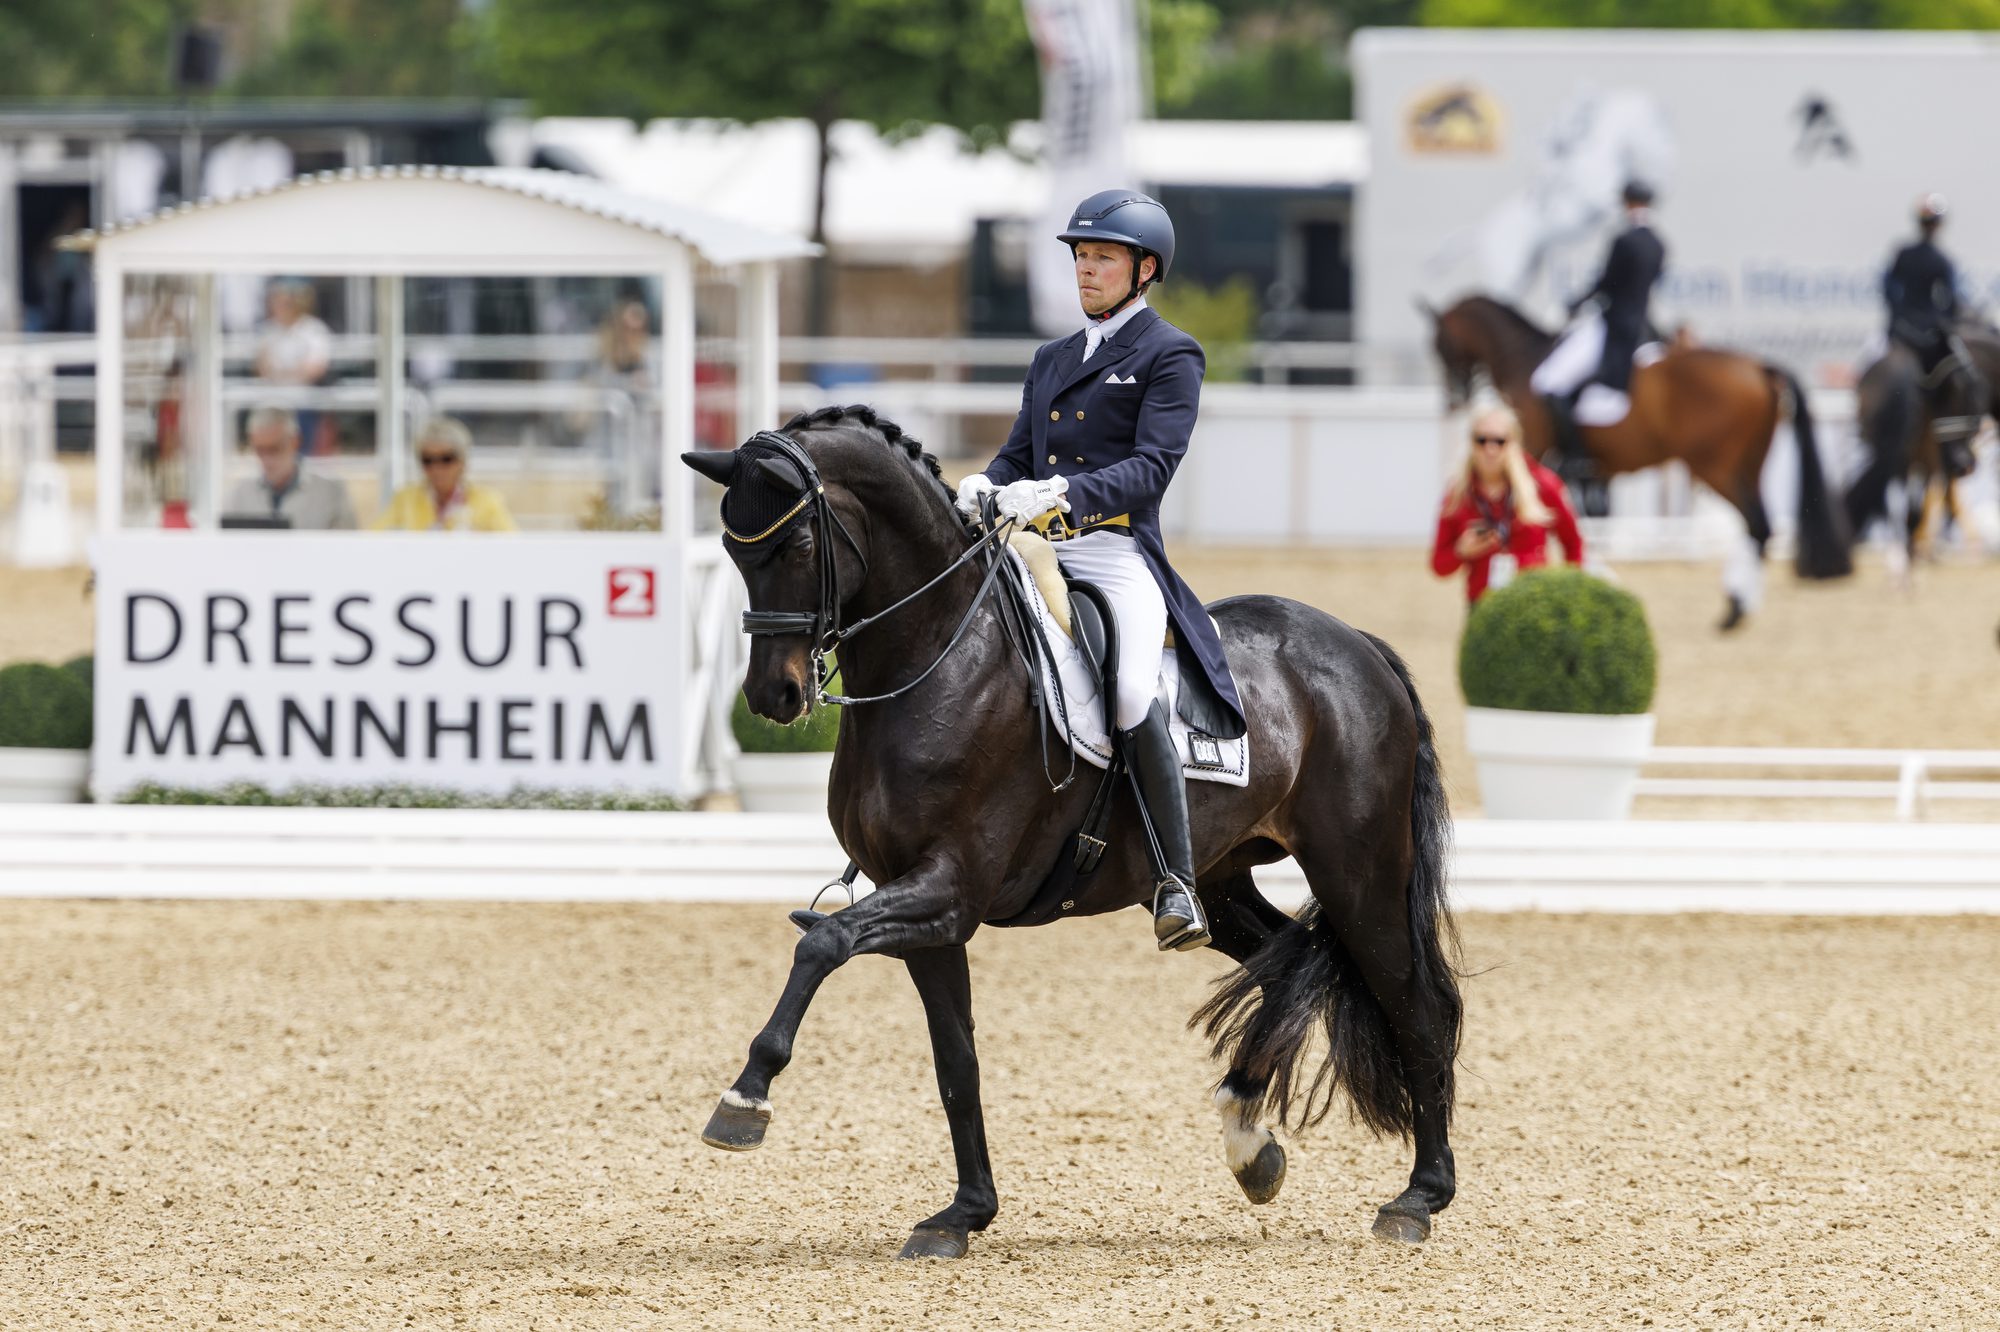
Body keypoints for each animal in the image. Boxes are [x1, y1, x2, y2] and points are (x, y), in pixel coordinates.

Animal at [681, 405, 1462, 1261]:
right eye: (732, 548)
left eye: (795, 544)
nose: (774, 697)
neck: (940, 657)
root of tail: (1361, 648)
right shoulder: (926, 913)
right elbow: (956, 1061)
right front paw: (963, 1215)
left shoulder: (948, 890)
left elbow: (820, 943)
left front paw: (744, 1100)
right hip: (1221, 879)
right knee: (1294, 958)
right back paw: (1249, 1138)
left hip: (1360, 873)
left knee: (1414, 1004)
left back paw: (1418, 1197)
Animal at [1425, 294, 1853, 630]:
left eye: (1440, 344)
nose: (1454, 398)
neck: (1524, 356)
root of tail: (1757, 366)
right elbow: (1582, 521)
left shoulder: (1534, 449)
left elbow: (1568, 521)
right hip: (1751, 463)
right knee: (1759, 529)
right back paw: (1741, 606)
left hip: (1714, 467)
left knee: (1757, 525)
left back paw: (1734, 608)